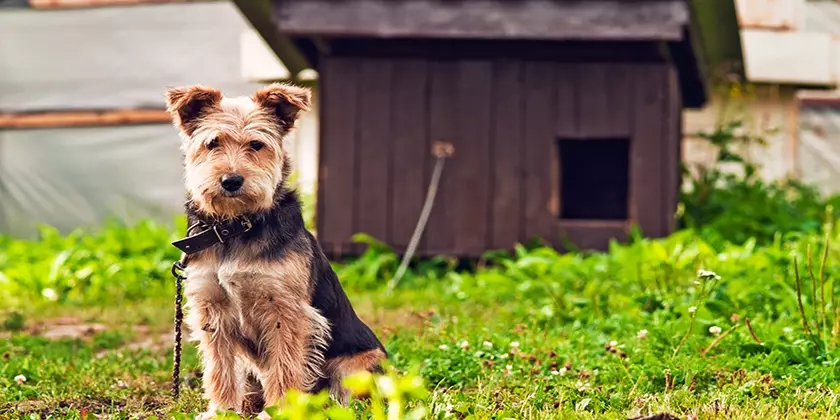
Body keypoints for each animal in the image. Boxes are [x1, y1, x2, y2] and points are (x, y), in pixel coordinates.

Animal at [164, 83, 388, 418]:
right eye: (212, 143)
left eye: (256, 144)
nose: (231, 181)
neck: (236, 227)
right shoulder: (212, 309)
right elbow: (220, 367)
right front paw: (221, 410)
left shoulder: (285, 310)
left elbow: (284, 366)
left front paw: (278, 411)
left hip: (358, 366)